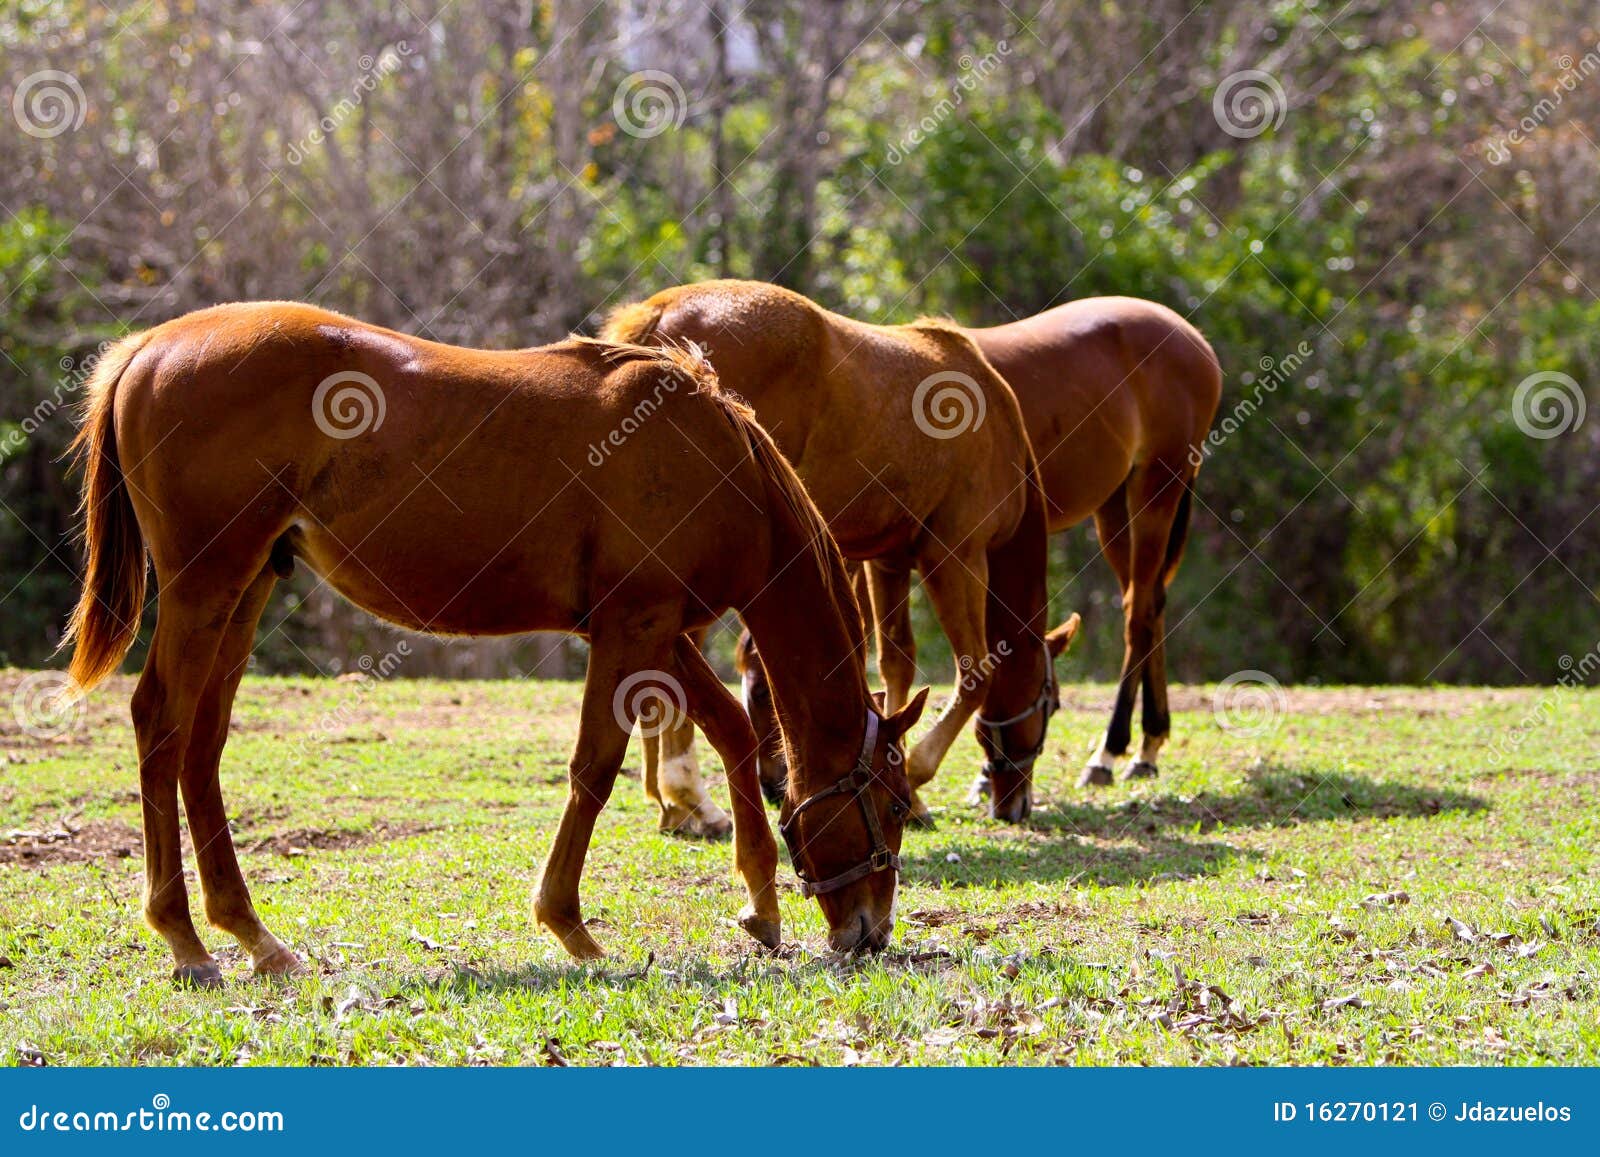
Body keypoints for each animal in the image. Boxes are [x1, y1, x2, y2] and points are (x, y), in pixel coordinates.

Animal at [61, 301, 926, 985]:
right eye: (891, 802)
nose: (871, 933)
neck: (716, 458)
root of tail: (148, 347)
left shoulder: (657, 631)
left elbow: (734, 732)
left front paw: (760, 903)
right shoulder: (634, 626)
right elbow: (595, 766)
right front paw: (568, 923)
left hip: (244, 590)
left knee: (201, 744)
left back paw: (251, 933)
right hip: (205, 589)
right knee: (160, 725)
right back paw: (184, 938)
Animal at [604, 279, 1074, 824]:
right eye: (1051, 704)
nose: (1015, 804)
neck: (995, 418)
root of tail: (660, 313)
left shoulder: (887, 562)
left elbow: (897, 664)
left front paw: (905, 783)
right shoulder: (956, 556)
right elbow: (977, 672)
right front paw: (917, 771)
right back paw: (690, 795)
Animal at [734, 297, 1222, 799]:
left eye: (762, 693)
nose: (773, 784)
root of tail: (1191, 337)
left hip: (1155, 490)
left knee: (1139, 612)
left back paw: (1111, 751)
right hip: (1115, 508)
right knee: (1149, 604)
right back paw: (1146, 745)